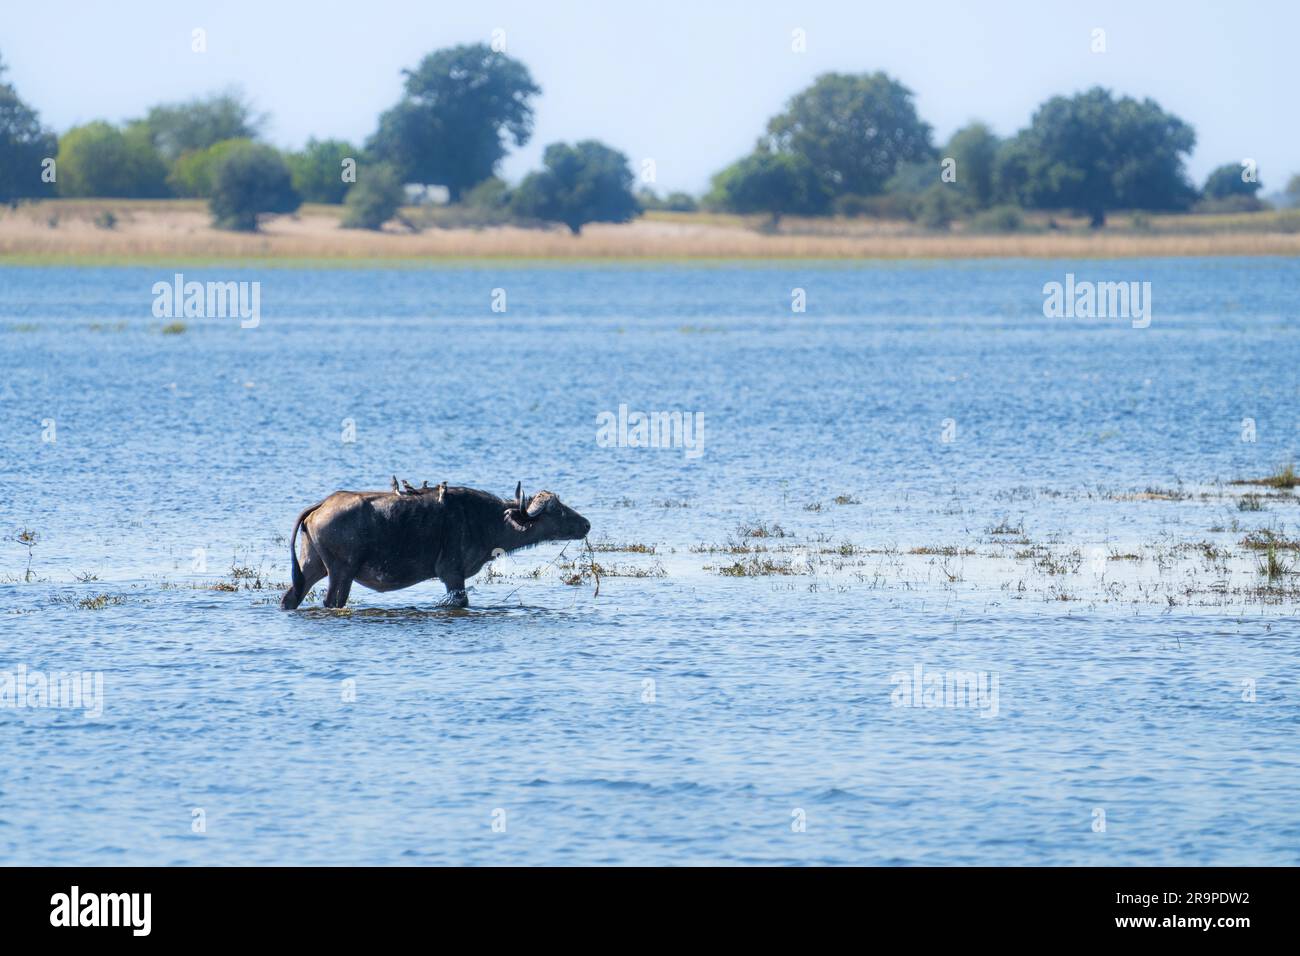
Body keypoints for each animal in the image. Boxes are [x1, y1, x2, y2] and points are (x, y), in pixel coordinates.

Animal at [280, 481, 591, 610]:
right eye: (557, 510)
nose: (586, 524)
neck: (483, 519)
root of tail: (322, 505)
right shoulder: (452, 575)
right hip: (341, 573)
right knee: (333, 601)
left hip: (312, 567)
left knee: (291, 598)